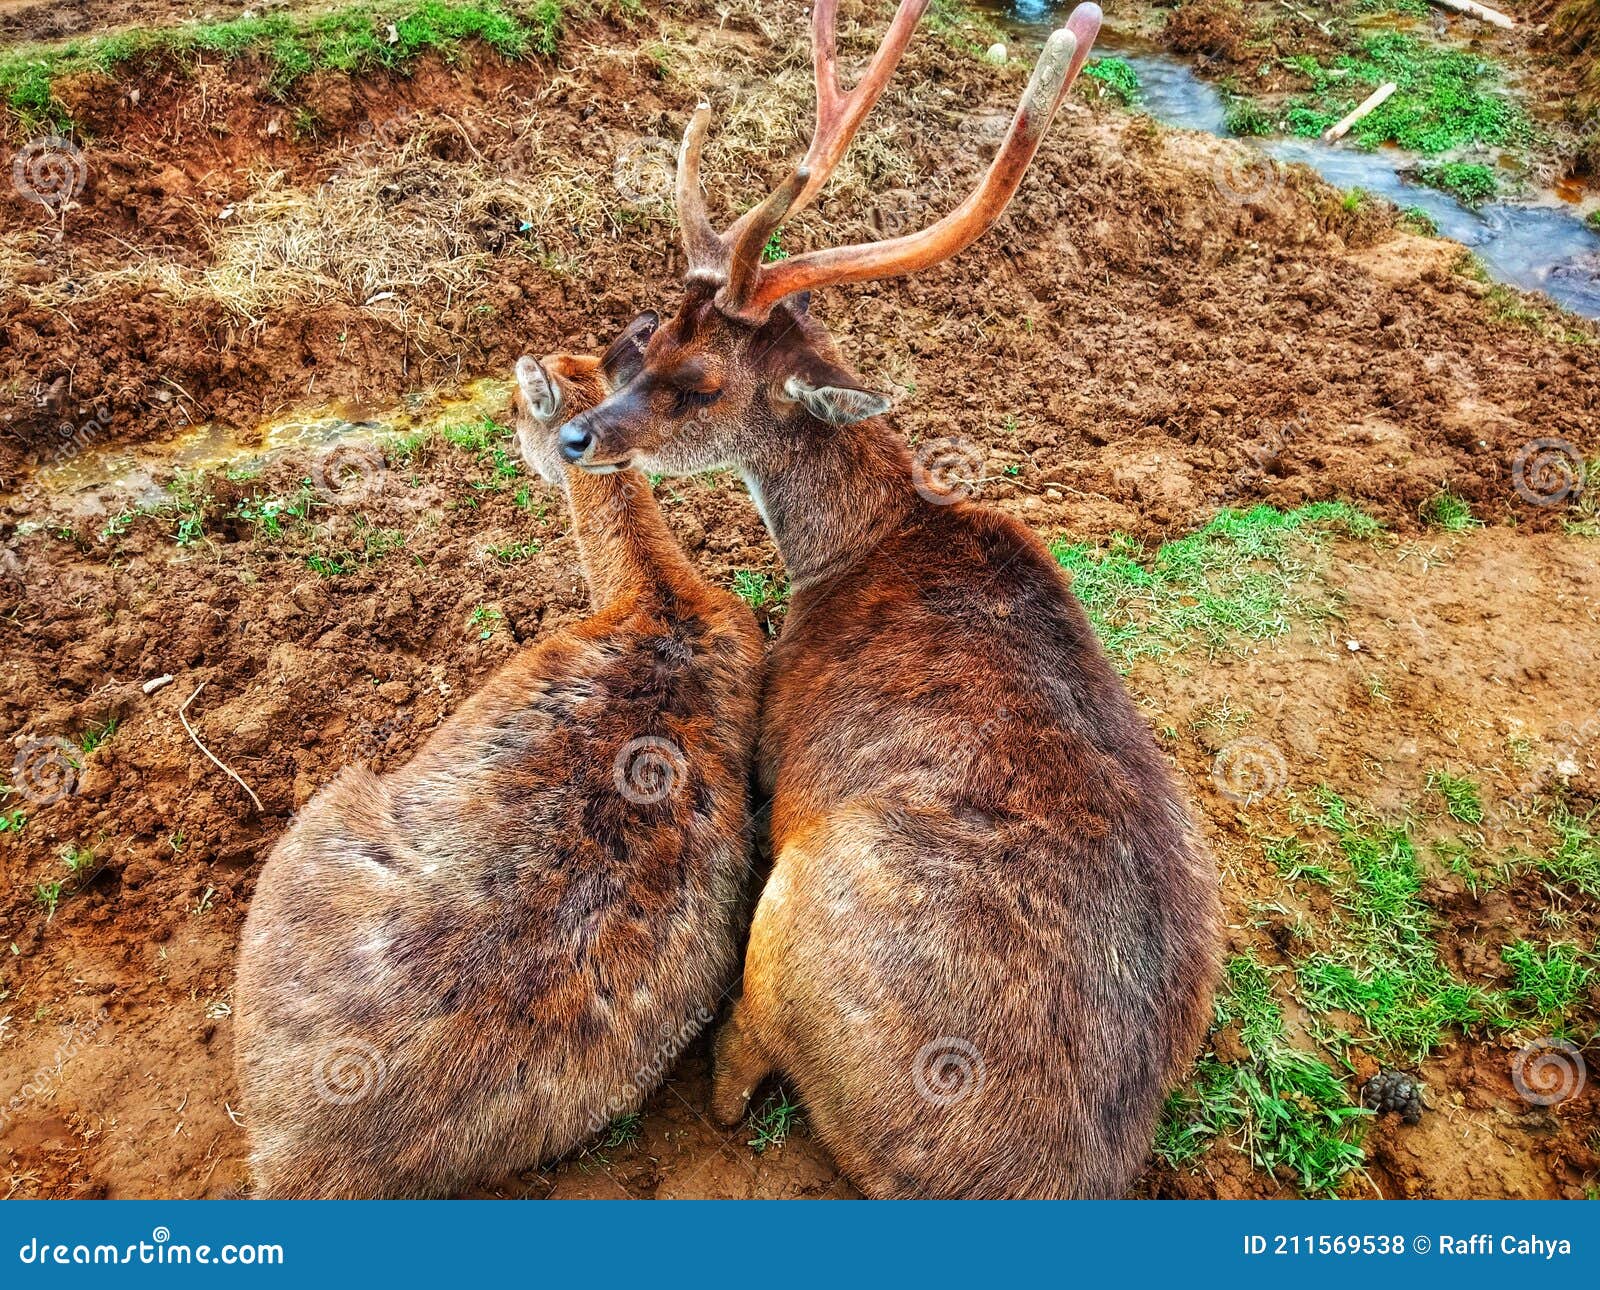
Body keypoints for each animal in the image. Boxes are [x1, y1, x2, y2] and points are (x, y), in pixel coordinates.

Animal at [553, 1, 1221, 1198]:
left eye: (702, 385)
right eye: (643, 334)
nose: (578, 436)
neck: (853, 546)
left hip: (799, 907)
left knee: (740, 1062)